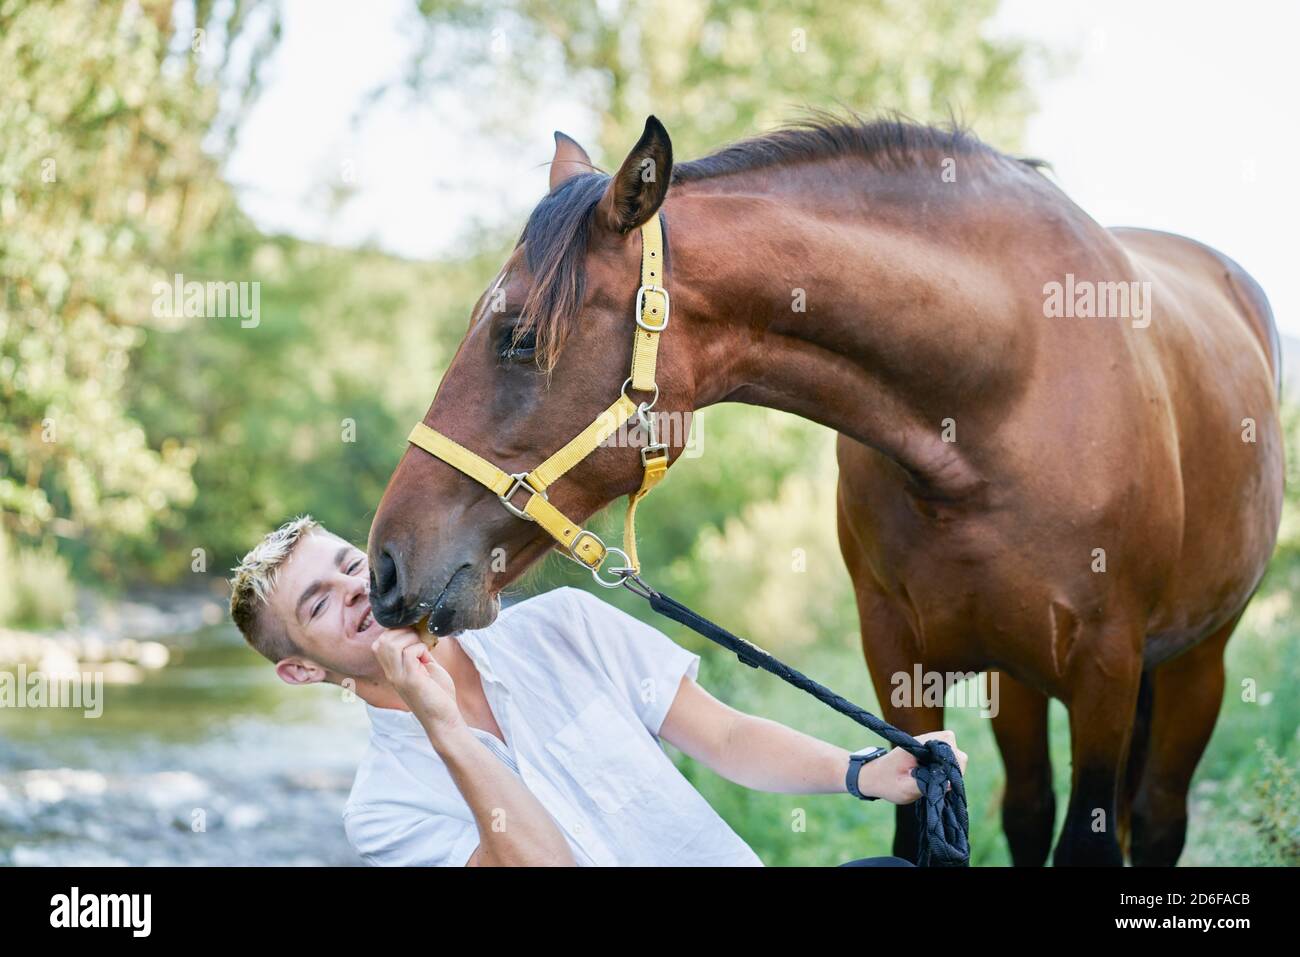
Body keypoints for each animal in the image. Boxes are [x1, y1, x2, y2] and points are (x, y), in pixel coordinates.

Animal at [367, 114, 1284, 865]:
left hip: (1198, 659)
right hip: (1020, 681)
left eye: (518, 338)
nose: (385, 567)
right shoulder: (896, 661)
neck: (1001, 398)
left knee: (1157, 819)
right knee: (1027, 809)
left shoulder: (1106, 672)